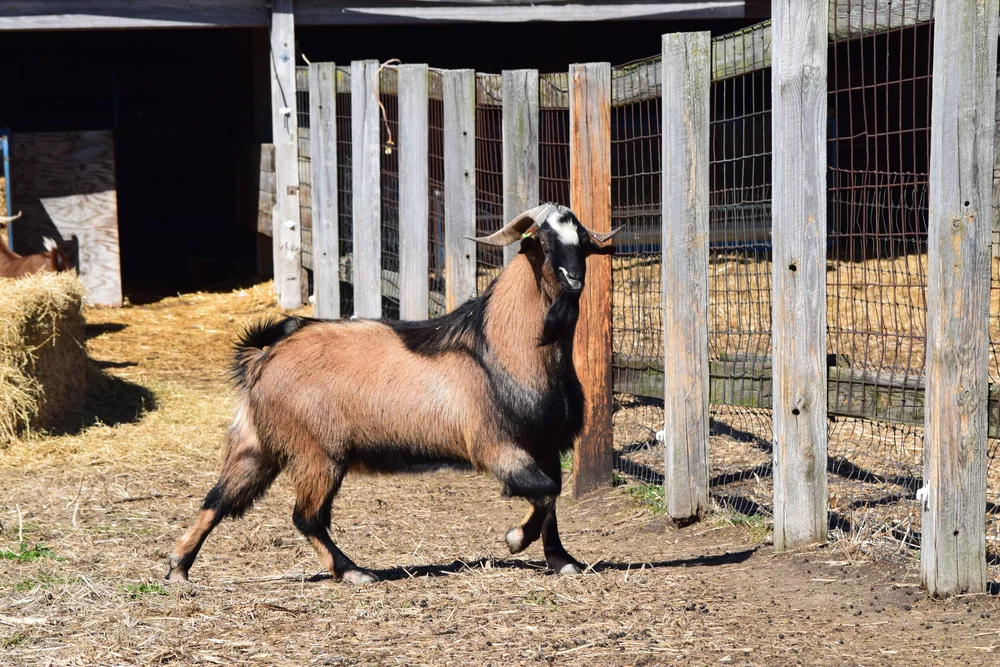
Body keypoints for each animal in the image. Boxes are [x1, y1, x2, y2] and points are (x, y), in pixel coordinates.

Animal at [165, 204, 619, 584]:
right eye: (542, 241)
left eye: (581, 241)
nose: (574, 279)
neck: (501, 347)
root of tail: (265, 357)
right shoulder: (497, 447)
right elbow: (544, 493)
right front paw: (514, 539)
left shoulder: (546, 446)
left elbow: (552, 499)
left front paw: (563, 560)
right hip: (318, 453)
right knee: (306, 516)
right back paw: (354, 572)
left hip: (257, 446)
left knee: (219, 499)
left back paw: (178, 569)